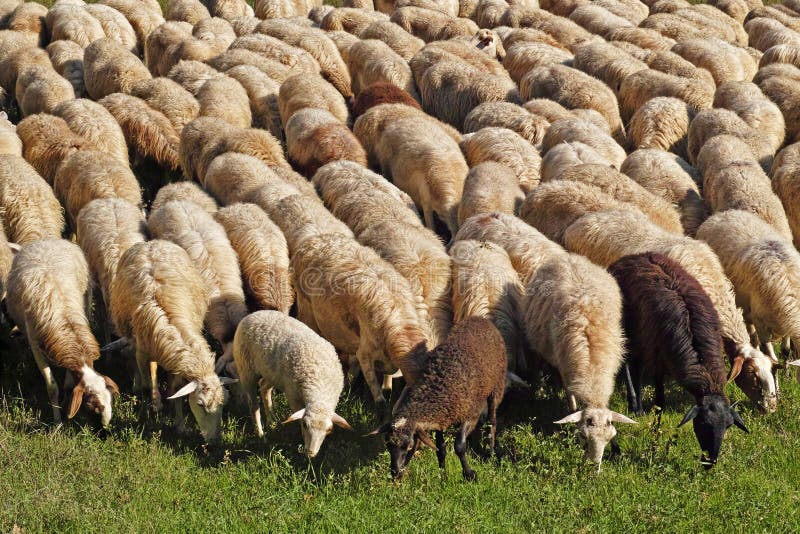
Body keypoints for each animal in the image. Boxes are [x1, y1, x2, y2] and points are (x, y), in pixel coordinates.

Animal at [7, 239, 119, 426]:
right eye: (91, 404)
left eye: (110, 399)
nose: (105, 426)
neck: (63, 318)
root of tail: (45, 241)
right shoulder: (35, 345)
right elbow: (52, 387)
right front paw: (58, 421)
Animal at [110, 240, 234, 439]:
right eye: (200, 404)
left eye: (224, 402)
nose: (215, 440)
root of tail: (150, 243)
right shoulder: (142, 353)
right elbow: (147, 385)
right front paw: (146, 415)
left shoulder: (177, 359)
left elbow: (176, 389)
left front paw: (180, 425)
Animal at [233, 310, 350, 454]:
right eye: (305, 424)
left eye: (329, 430)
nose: (310, 452)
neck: (319, 384)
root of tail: (253, 314)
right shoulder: (294, 396)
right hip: (246, 369)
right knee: (253, 405)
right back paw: (260, 434)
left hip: (272, 373)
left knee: (264, 388)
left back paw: (272, 422)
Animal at [370, 317, 505, 481]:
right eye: (388, 445)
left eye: (409, 446)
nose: (395, 474)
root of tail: (481, 319)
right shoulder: (440, 420)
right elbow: (441, 448)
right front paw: (442, 475)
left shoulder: (471, 414)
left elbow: (459, 445)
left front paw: (469, 474)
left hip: (497, 387)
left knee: (492, 421)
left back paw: (491, 452)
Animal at [608, 252, 748, 465]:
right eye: (703, 423)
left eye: (728, 426)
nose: (710, 462)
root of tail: (630, 257)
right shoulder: (657, 361)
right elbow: (660, 404)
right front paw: (654, 444)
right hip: (625, 329)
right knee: (625, 362)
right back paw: (633, 401)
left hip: (642, 338)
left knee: (636, 365)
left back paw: (638, 408)